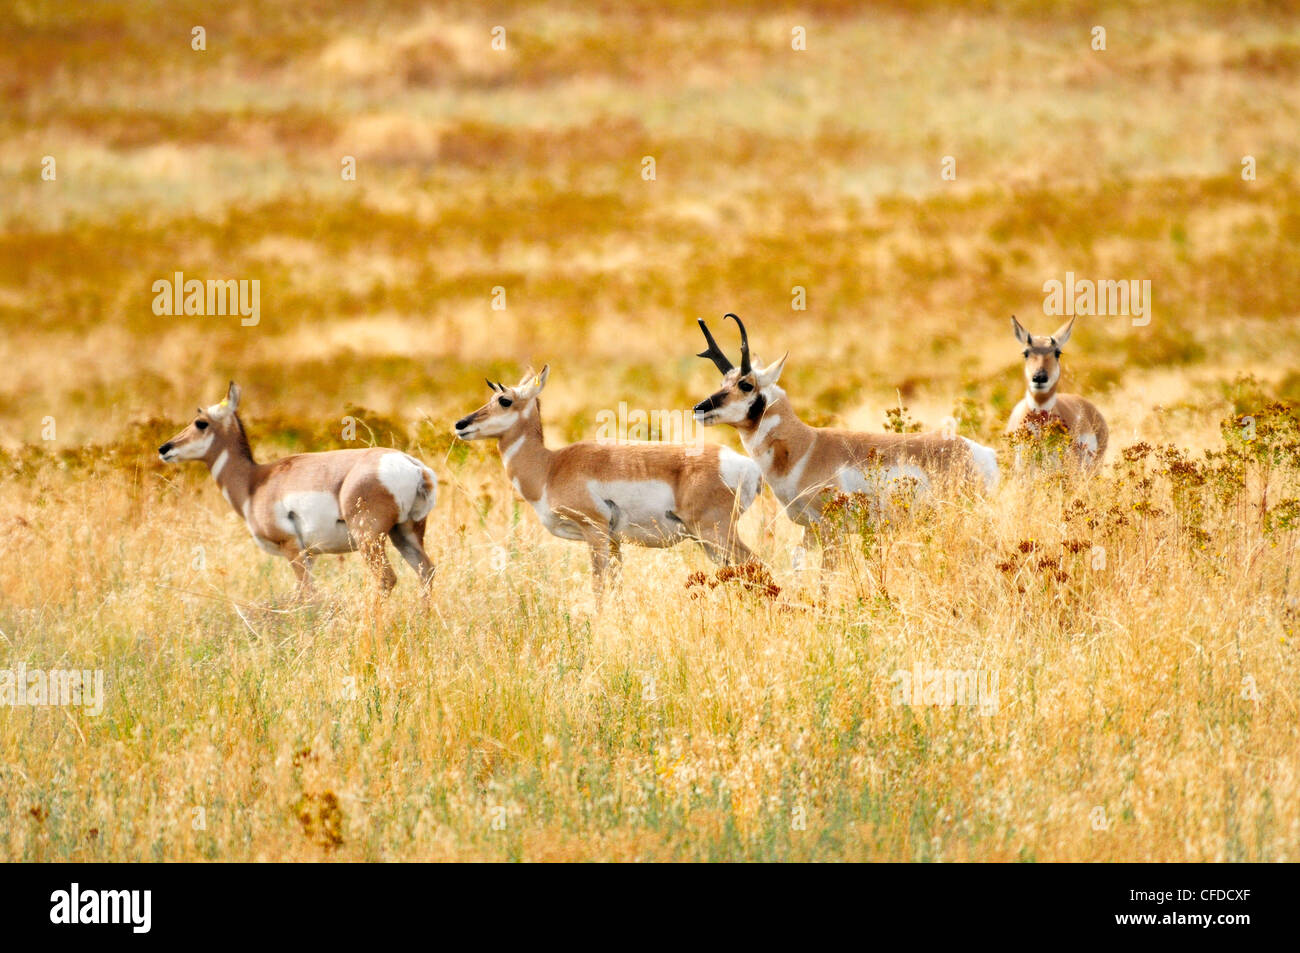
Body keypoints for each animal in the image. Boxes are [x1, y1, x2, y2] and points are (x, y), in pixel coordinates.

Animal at [158, 382, 436, 596]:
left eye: (201, 422)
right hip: (404, 534)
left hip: (370, 539)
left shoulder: (293, 549)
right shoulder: (311, 556)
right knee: (427, 571)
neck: (255, 481)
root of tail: (412, 465)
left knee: (385, 578)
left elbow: (307, 594)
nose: (164, 448)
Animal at [452, 365, 761, 597]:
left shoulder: (595, 533)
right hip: (707, 541)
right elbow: (617, 586)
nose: (461, 424)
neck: (551, 467)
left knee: (755, 564)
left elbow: (599, 587)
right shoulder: (614, 541)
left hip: (715, 533)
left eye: (505, 400)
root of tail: (745, 464)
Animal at [692, 314, 999, 569]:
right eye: (723, 383)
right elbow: (797, 561)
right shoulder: (809, 531)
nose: (699, 408)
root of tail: (979, 451)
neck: (807, 445)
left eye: (746, 384)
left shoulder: (832, 532)